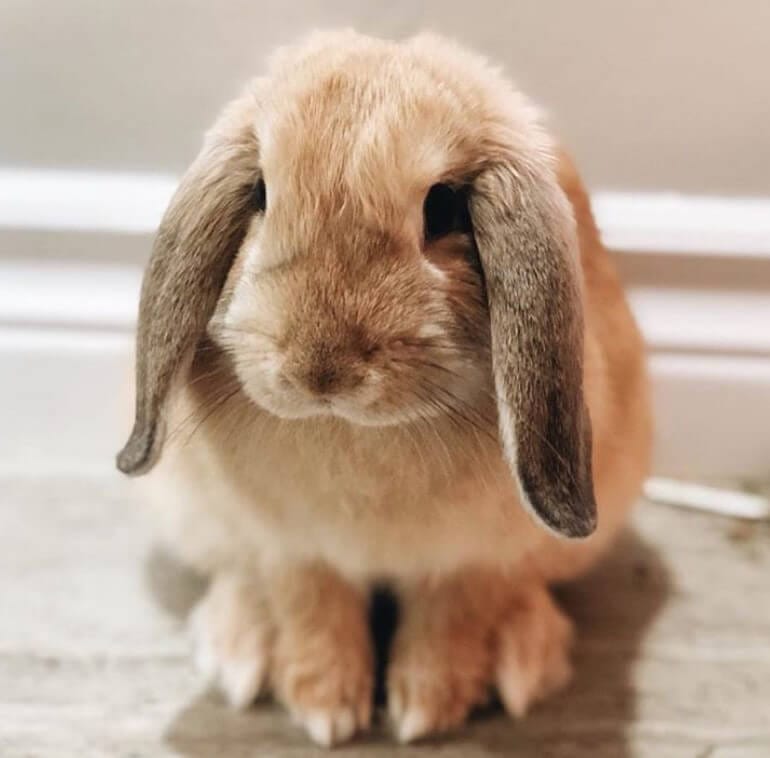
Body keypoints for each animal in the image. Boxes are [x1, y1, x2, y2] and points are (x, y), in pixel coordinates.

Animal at [117, 29, 652, 747]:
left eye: (444, 206)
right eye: (260, 194)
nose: (320, 370)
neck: (352, 433)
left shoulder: (475, 556)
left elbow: (454, 614)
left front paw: (427, 707)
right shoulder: (290, 547)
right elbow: (309, 607)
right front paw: (326, 709)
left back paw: (523, 658)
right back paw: (238, 649)